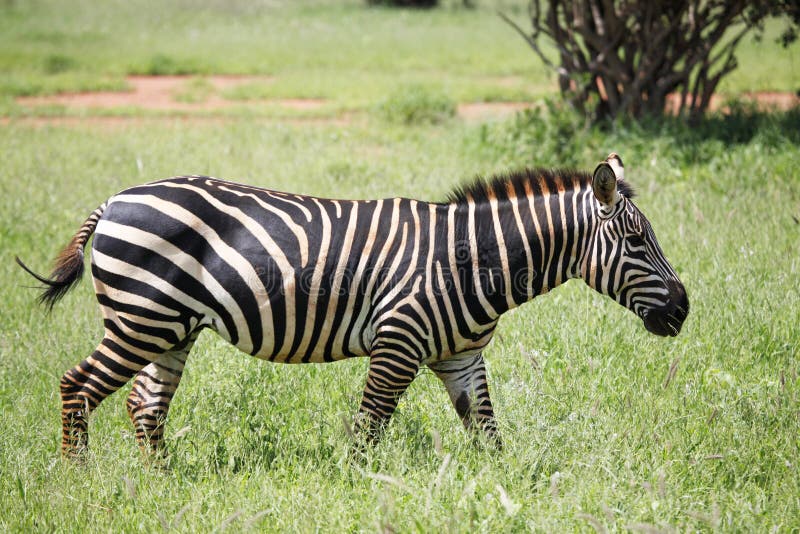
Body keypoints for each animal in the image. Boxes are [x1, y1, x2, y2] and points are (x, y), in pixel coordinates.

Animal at [17, 153, 688, 458]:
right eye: (637, 241)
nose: (683, 311)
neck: (472, 259)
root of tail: (115, 199)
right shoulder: (398, 342)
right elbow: (369, 428)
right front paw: (358, 489)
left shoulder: (462, 357)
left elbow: (488, 435)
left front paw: (505, 491)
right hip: (142, 318)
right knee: (78, 386)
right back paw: (80, 482)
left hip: (171, 328)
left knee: (144, 404)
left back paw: (161, 485)